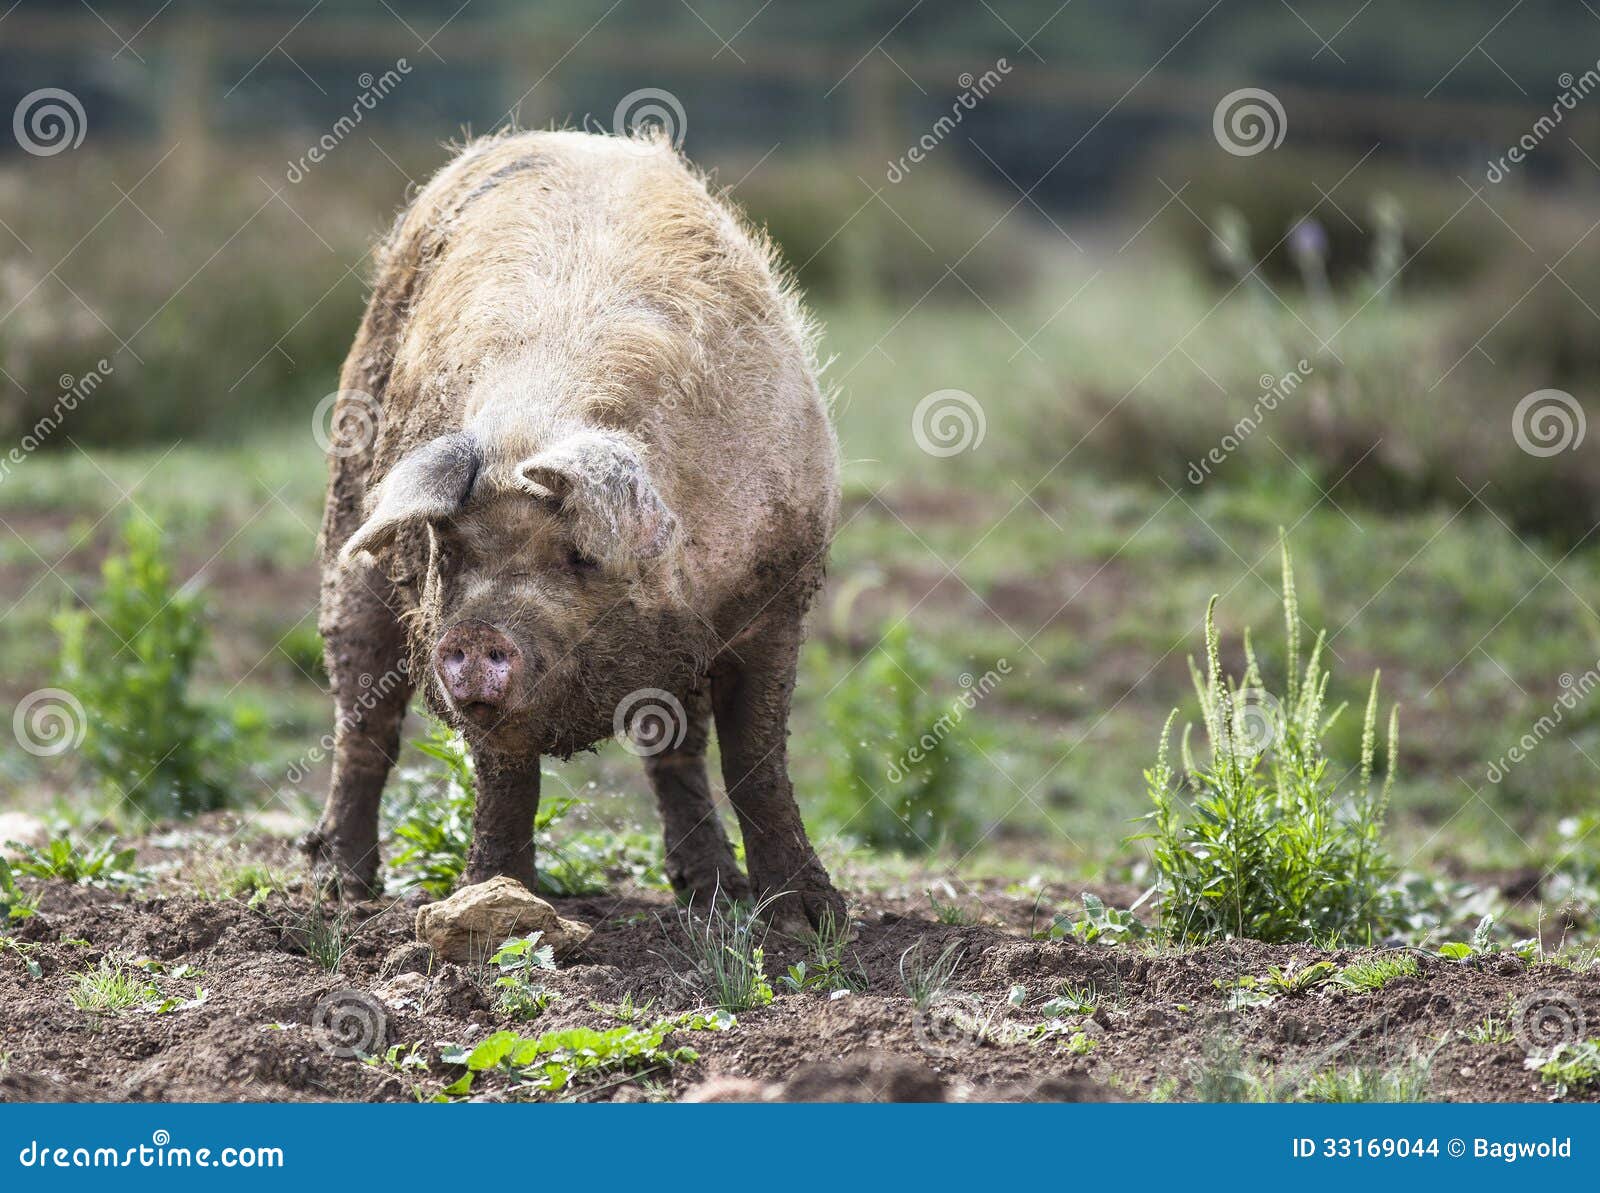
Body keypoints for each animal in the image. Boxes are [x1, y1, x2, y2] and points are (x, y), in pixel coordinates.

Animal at [302, 128, 845, 930]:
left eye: (581, 555)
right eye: (448, 550)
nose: (478, 634)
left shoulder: (779, 592)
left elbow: (756, 760)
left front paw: (809, 922)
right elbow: (506, 780)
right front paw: (496, 902)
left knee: (676, 747)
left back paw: (711, 894)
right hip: (351, 510)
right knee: (361, 715)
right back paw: (338, 891)